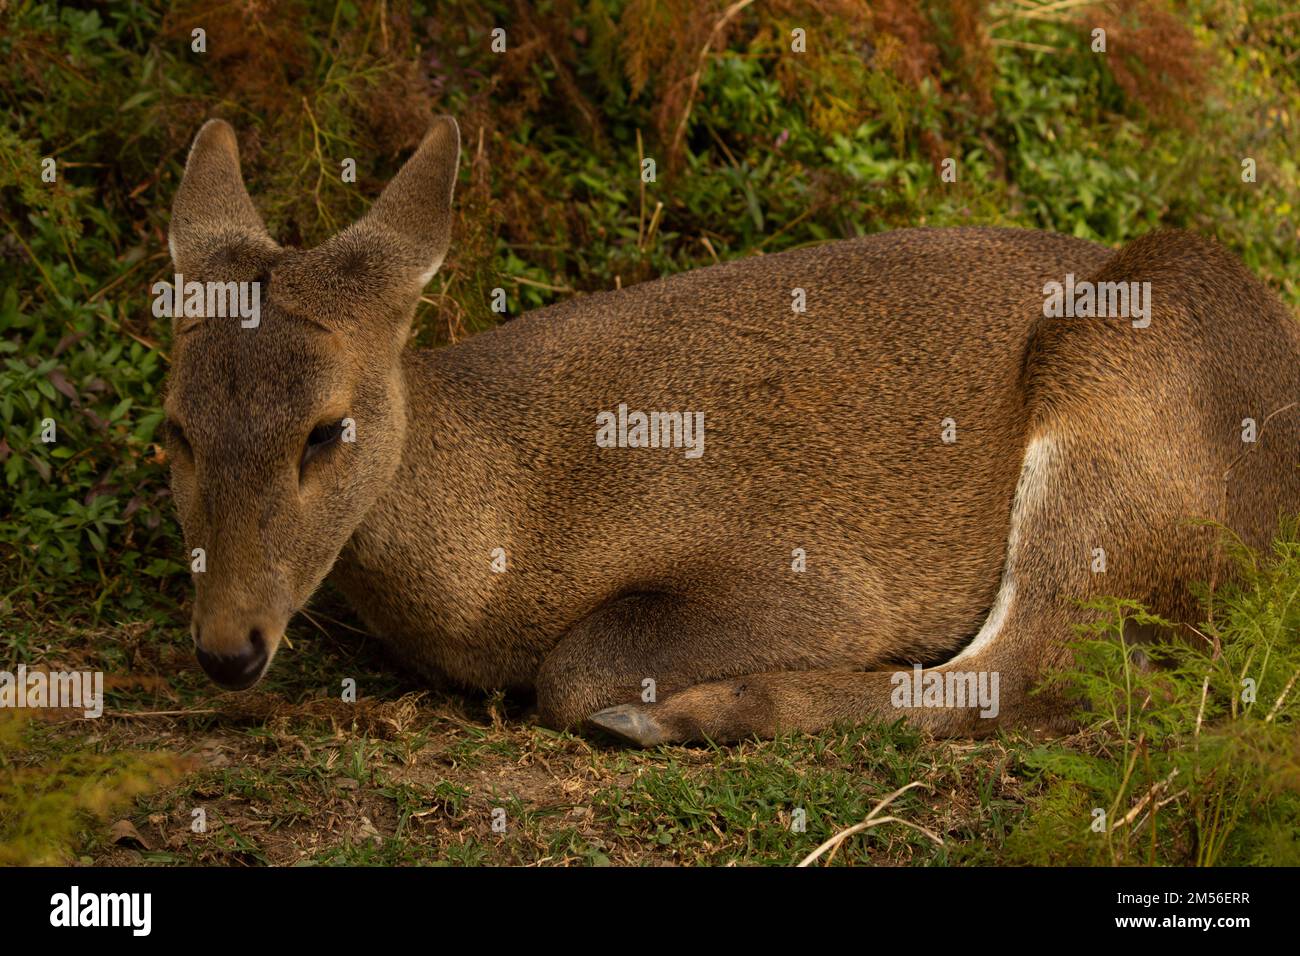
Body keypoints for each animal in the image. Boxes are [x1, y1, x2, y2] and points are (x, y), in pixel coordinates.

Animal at [162, 116, 1300, 746]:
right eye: (172, 430)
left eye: (326, 429)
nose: (226, 647)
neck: (504, 535)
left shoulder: (807, 571)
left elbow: (574, 667)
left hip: (1126, 367)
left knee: (1027, 666)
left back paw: (686, 716)